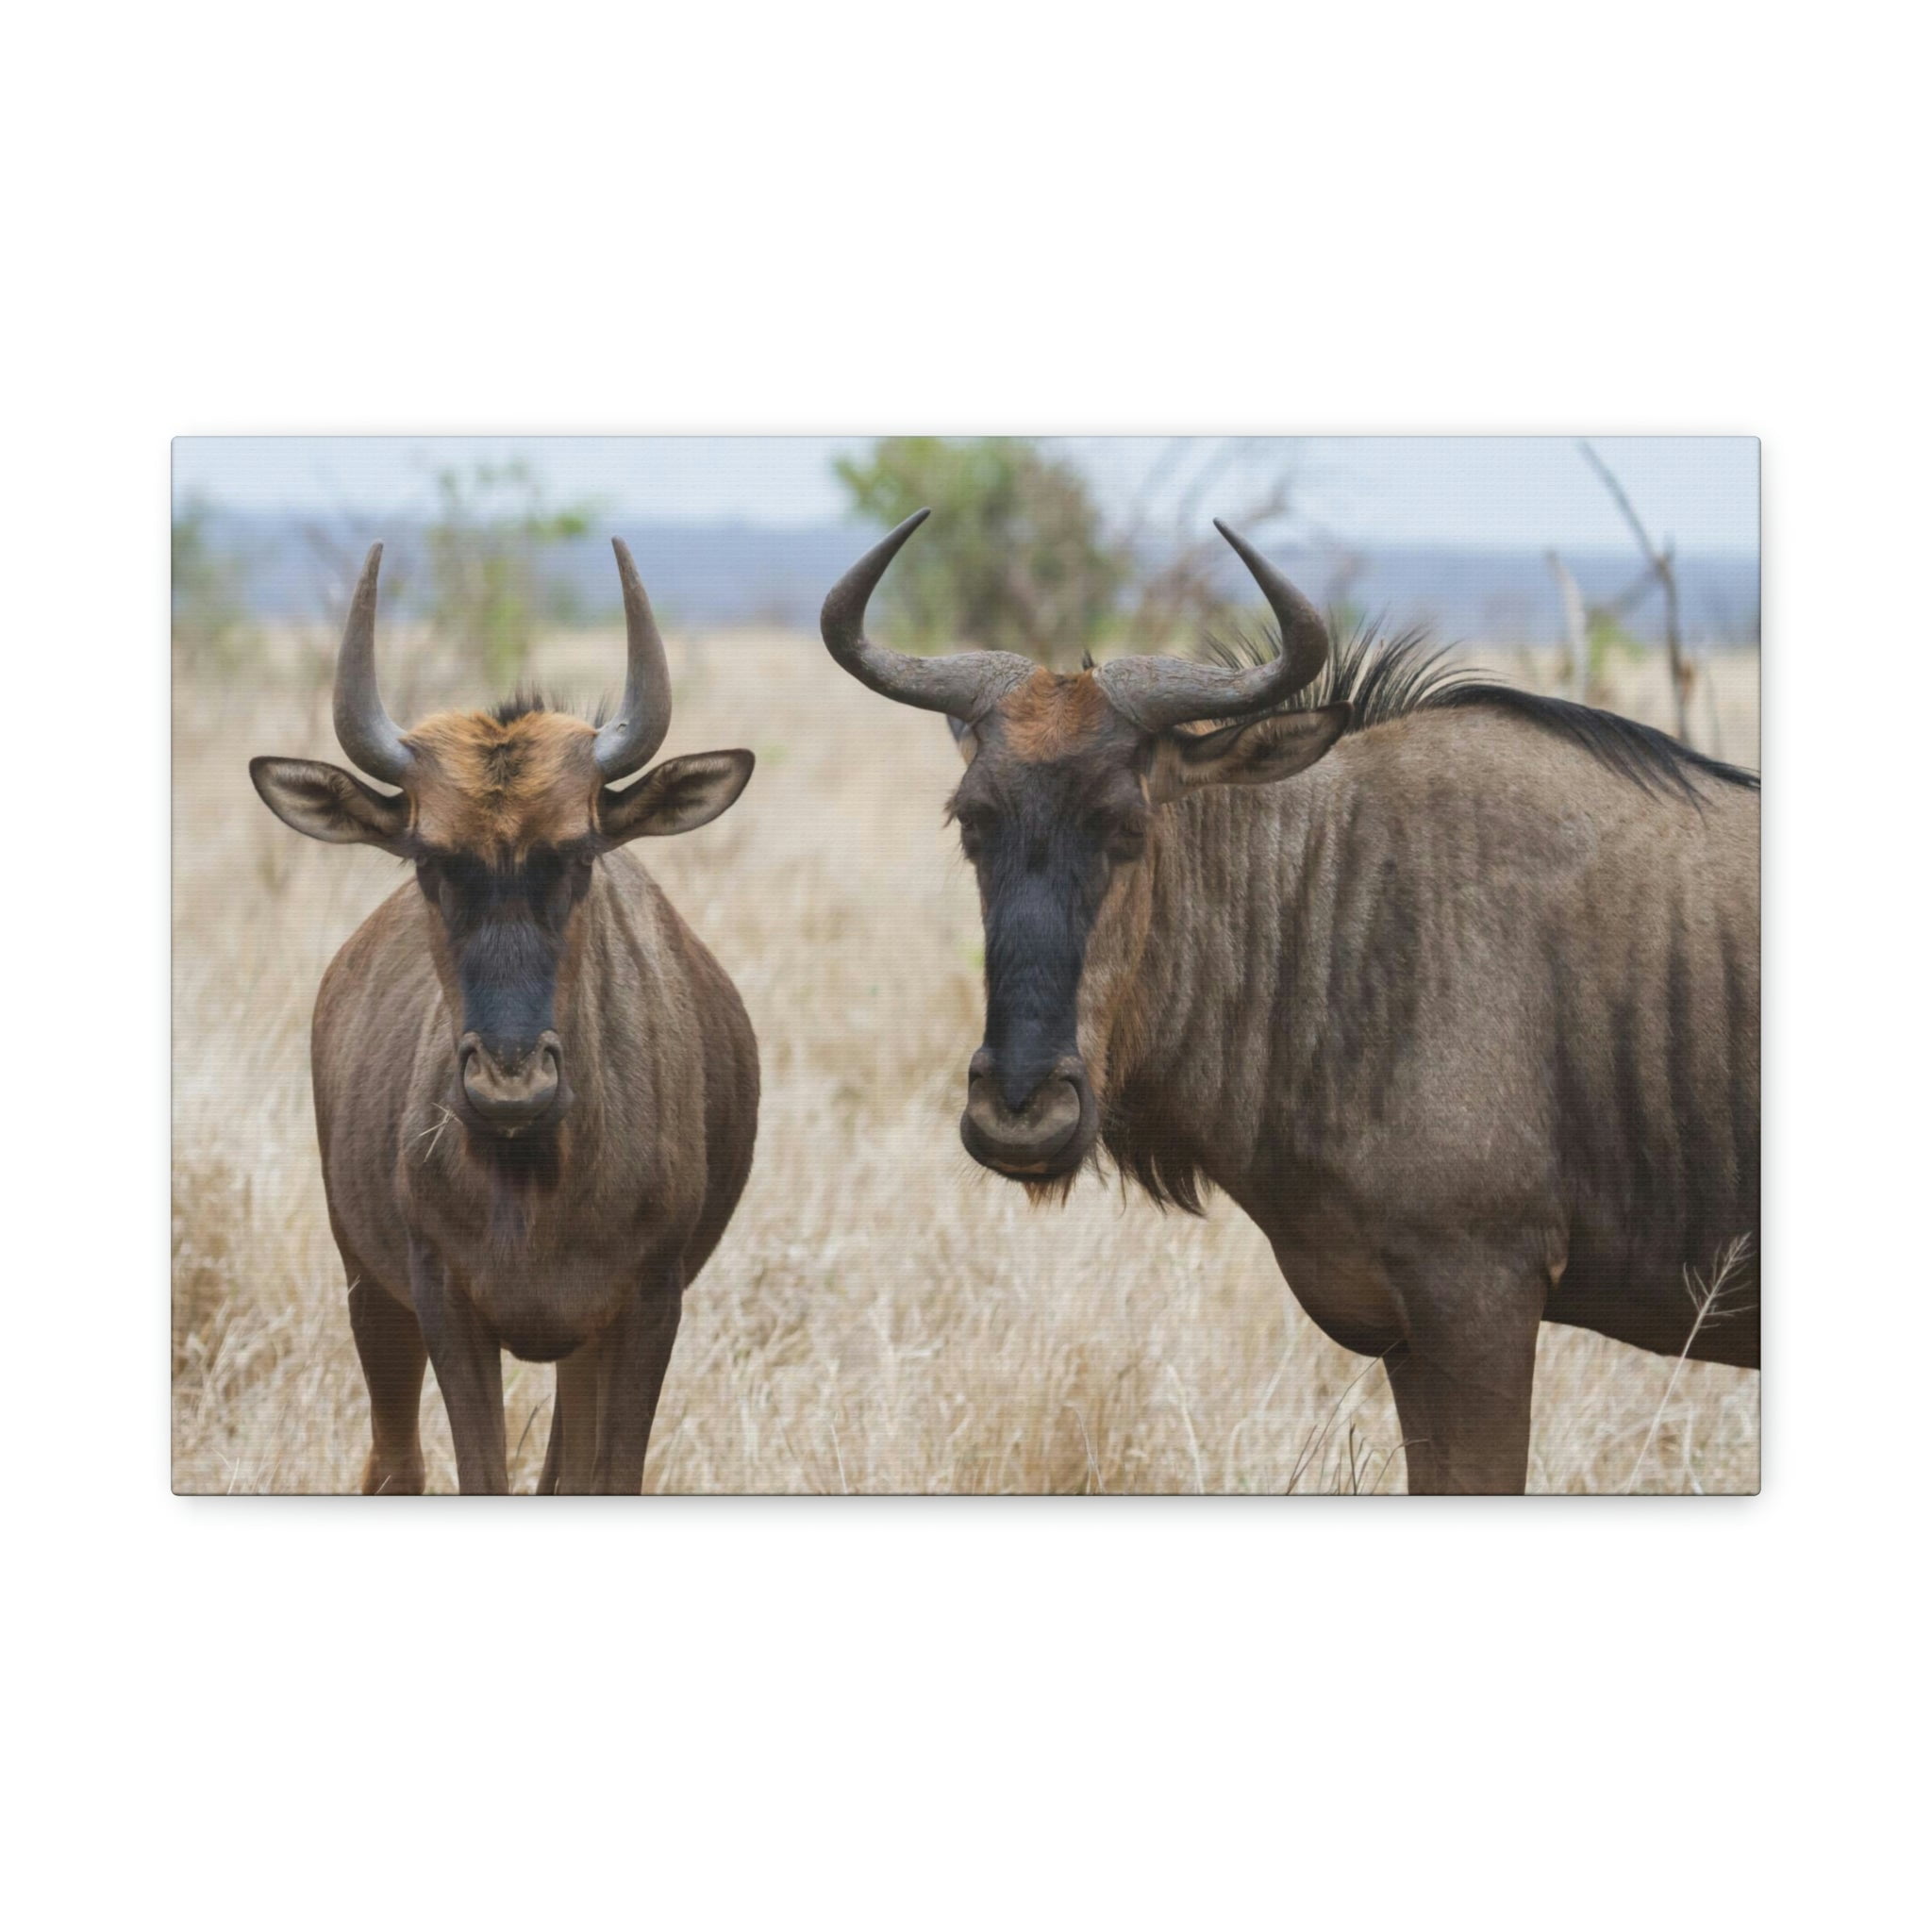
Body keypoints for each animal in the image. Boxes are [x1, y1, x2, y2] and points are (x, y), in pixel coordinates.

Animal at [251, 542, 759, 1493]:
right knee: (395, 1463)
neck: (537, 1174)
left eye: (580, 854)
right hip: (369, 1291)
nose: (510, 1086)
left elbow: (607, 1478)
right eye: (429, 860)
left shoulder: (643, 1310)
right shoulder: (445, 1304)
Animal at [821, 511, 1759, 1493]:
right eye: (973, 820)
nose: (1020, 1115)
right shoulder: (1411, 1336)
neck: (1351, 910)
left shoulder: (1481, 1301)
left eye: (1126, 823)